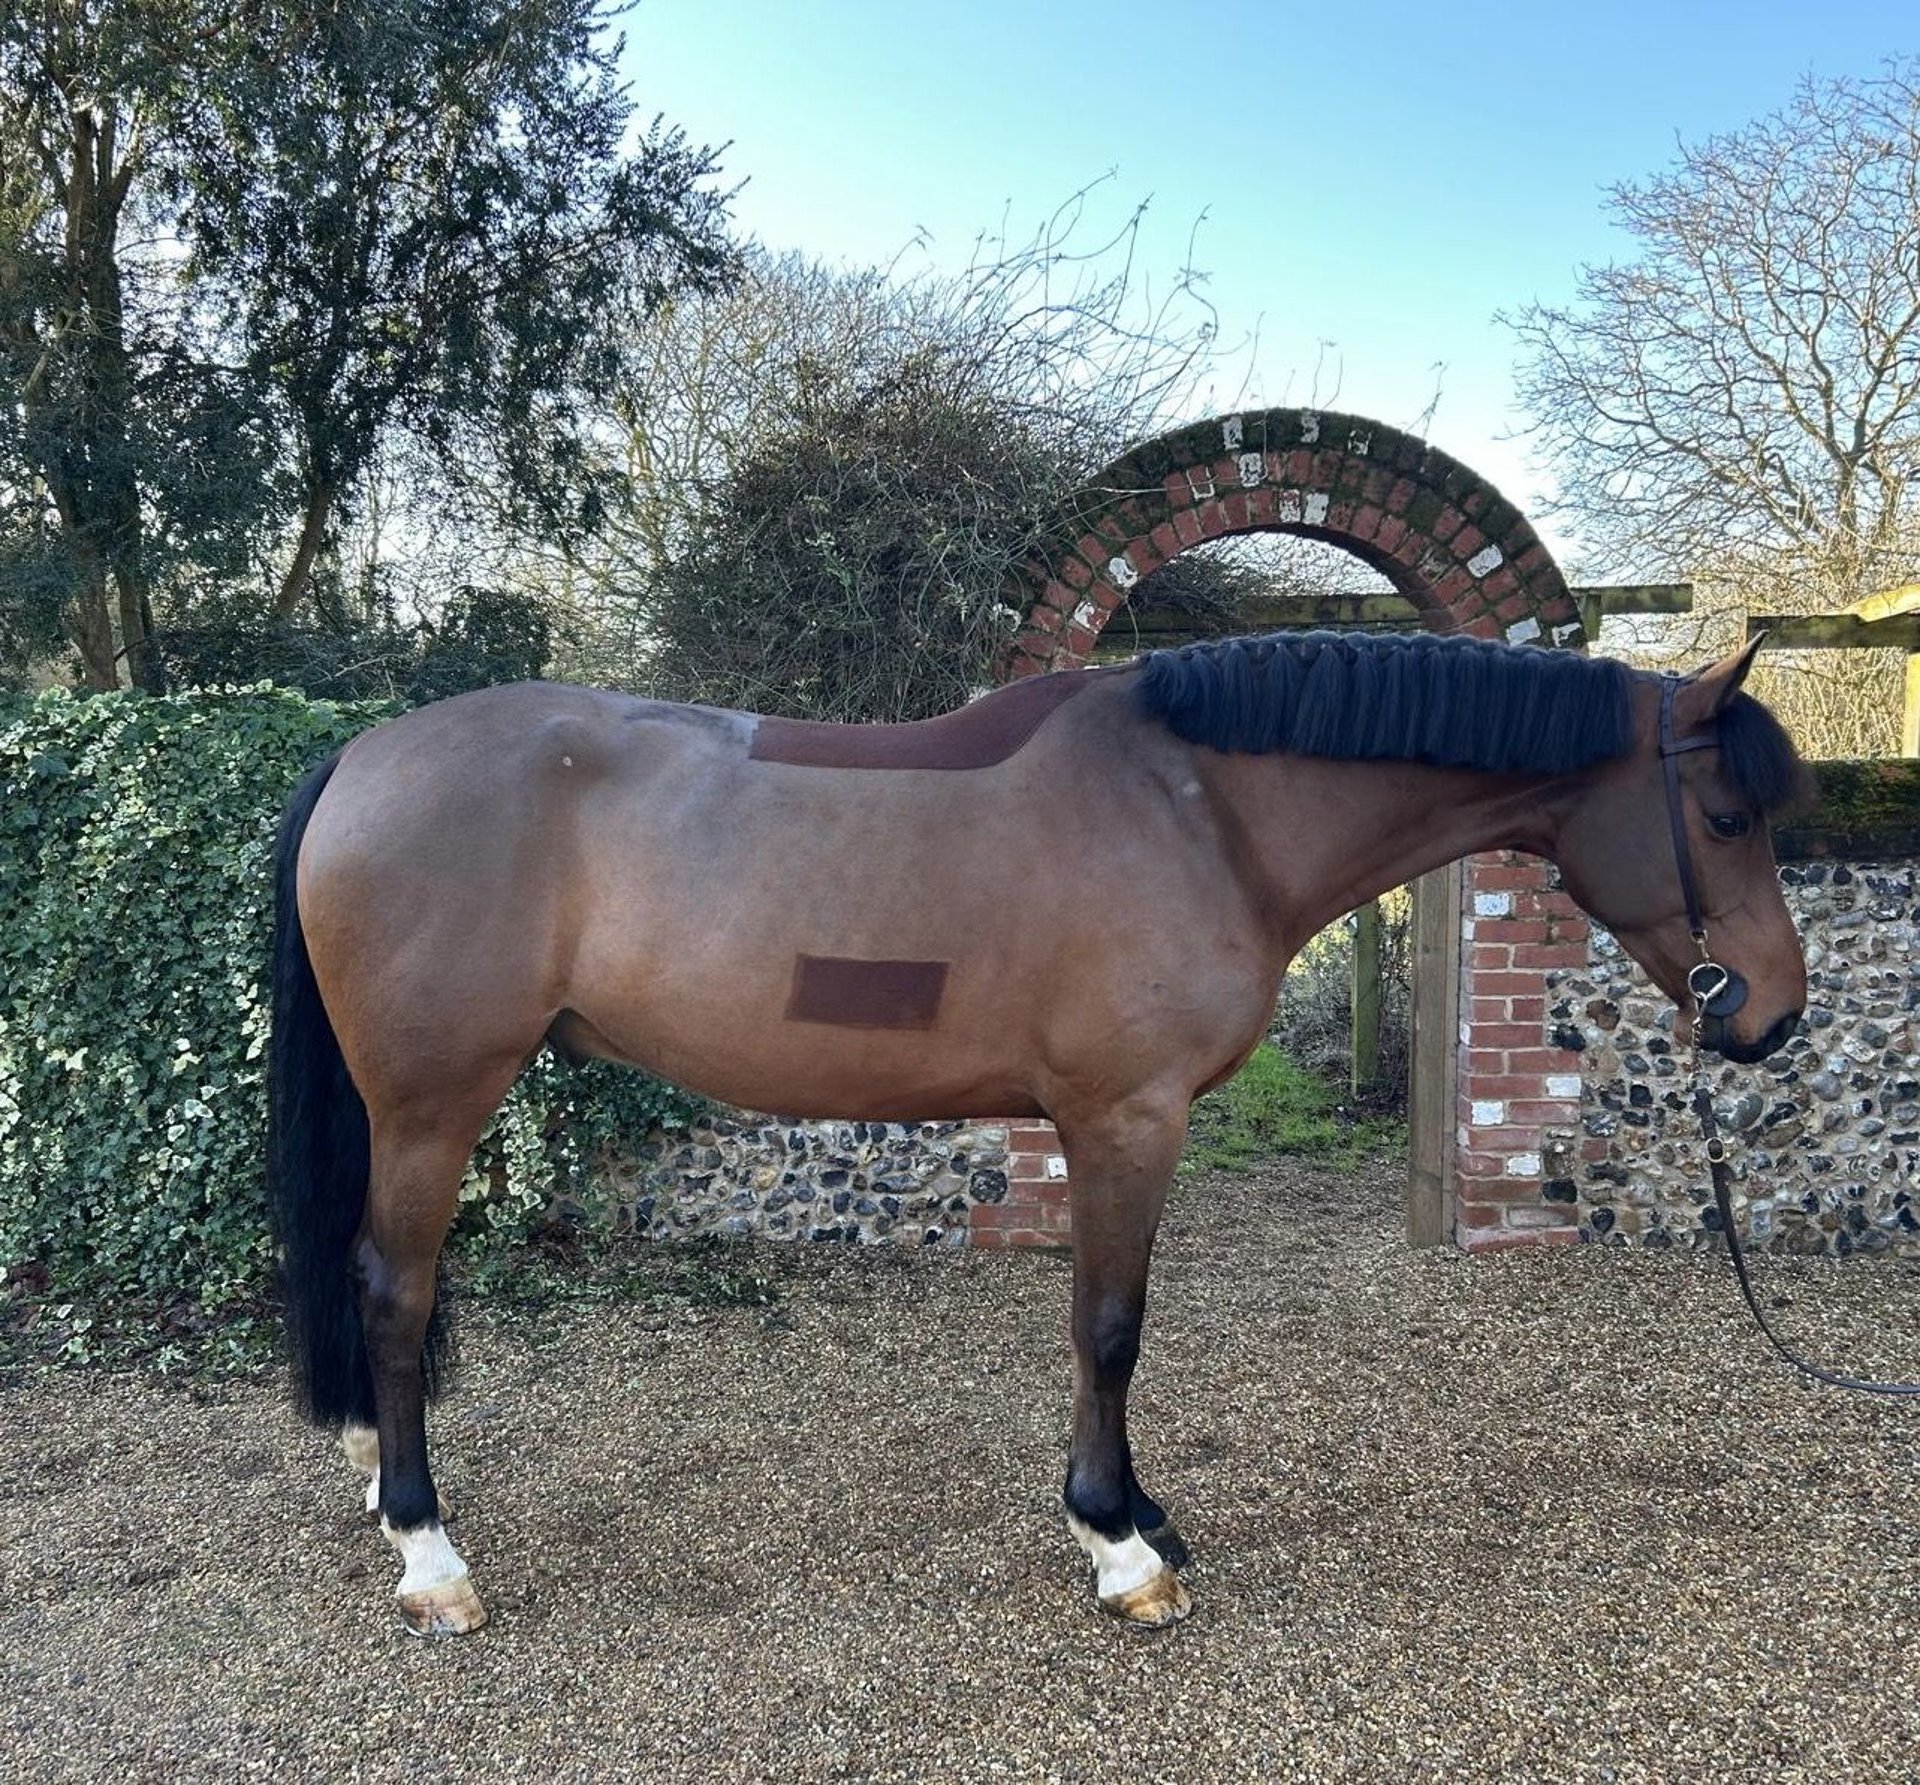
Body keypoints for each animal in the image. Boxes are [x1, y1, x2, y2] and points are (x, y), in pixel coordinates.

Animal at [268, 628, 1812, 1636]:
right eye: (1727, 815)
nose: (1776, 1016)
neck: (1205, 808)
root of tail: (361, 754)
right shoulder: (1126, 1117)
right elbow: (1111, 1328)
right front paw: (1120, 1543)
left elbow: (1111, 1328)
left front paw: (1143, 1511)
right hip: (433, 1101)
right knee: (396, 1290)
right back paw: (429, 1551)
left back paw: (375, 1482)